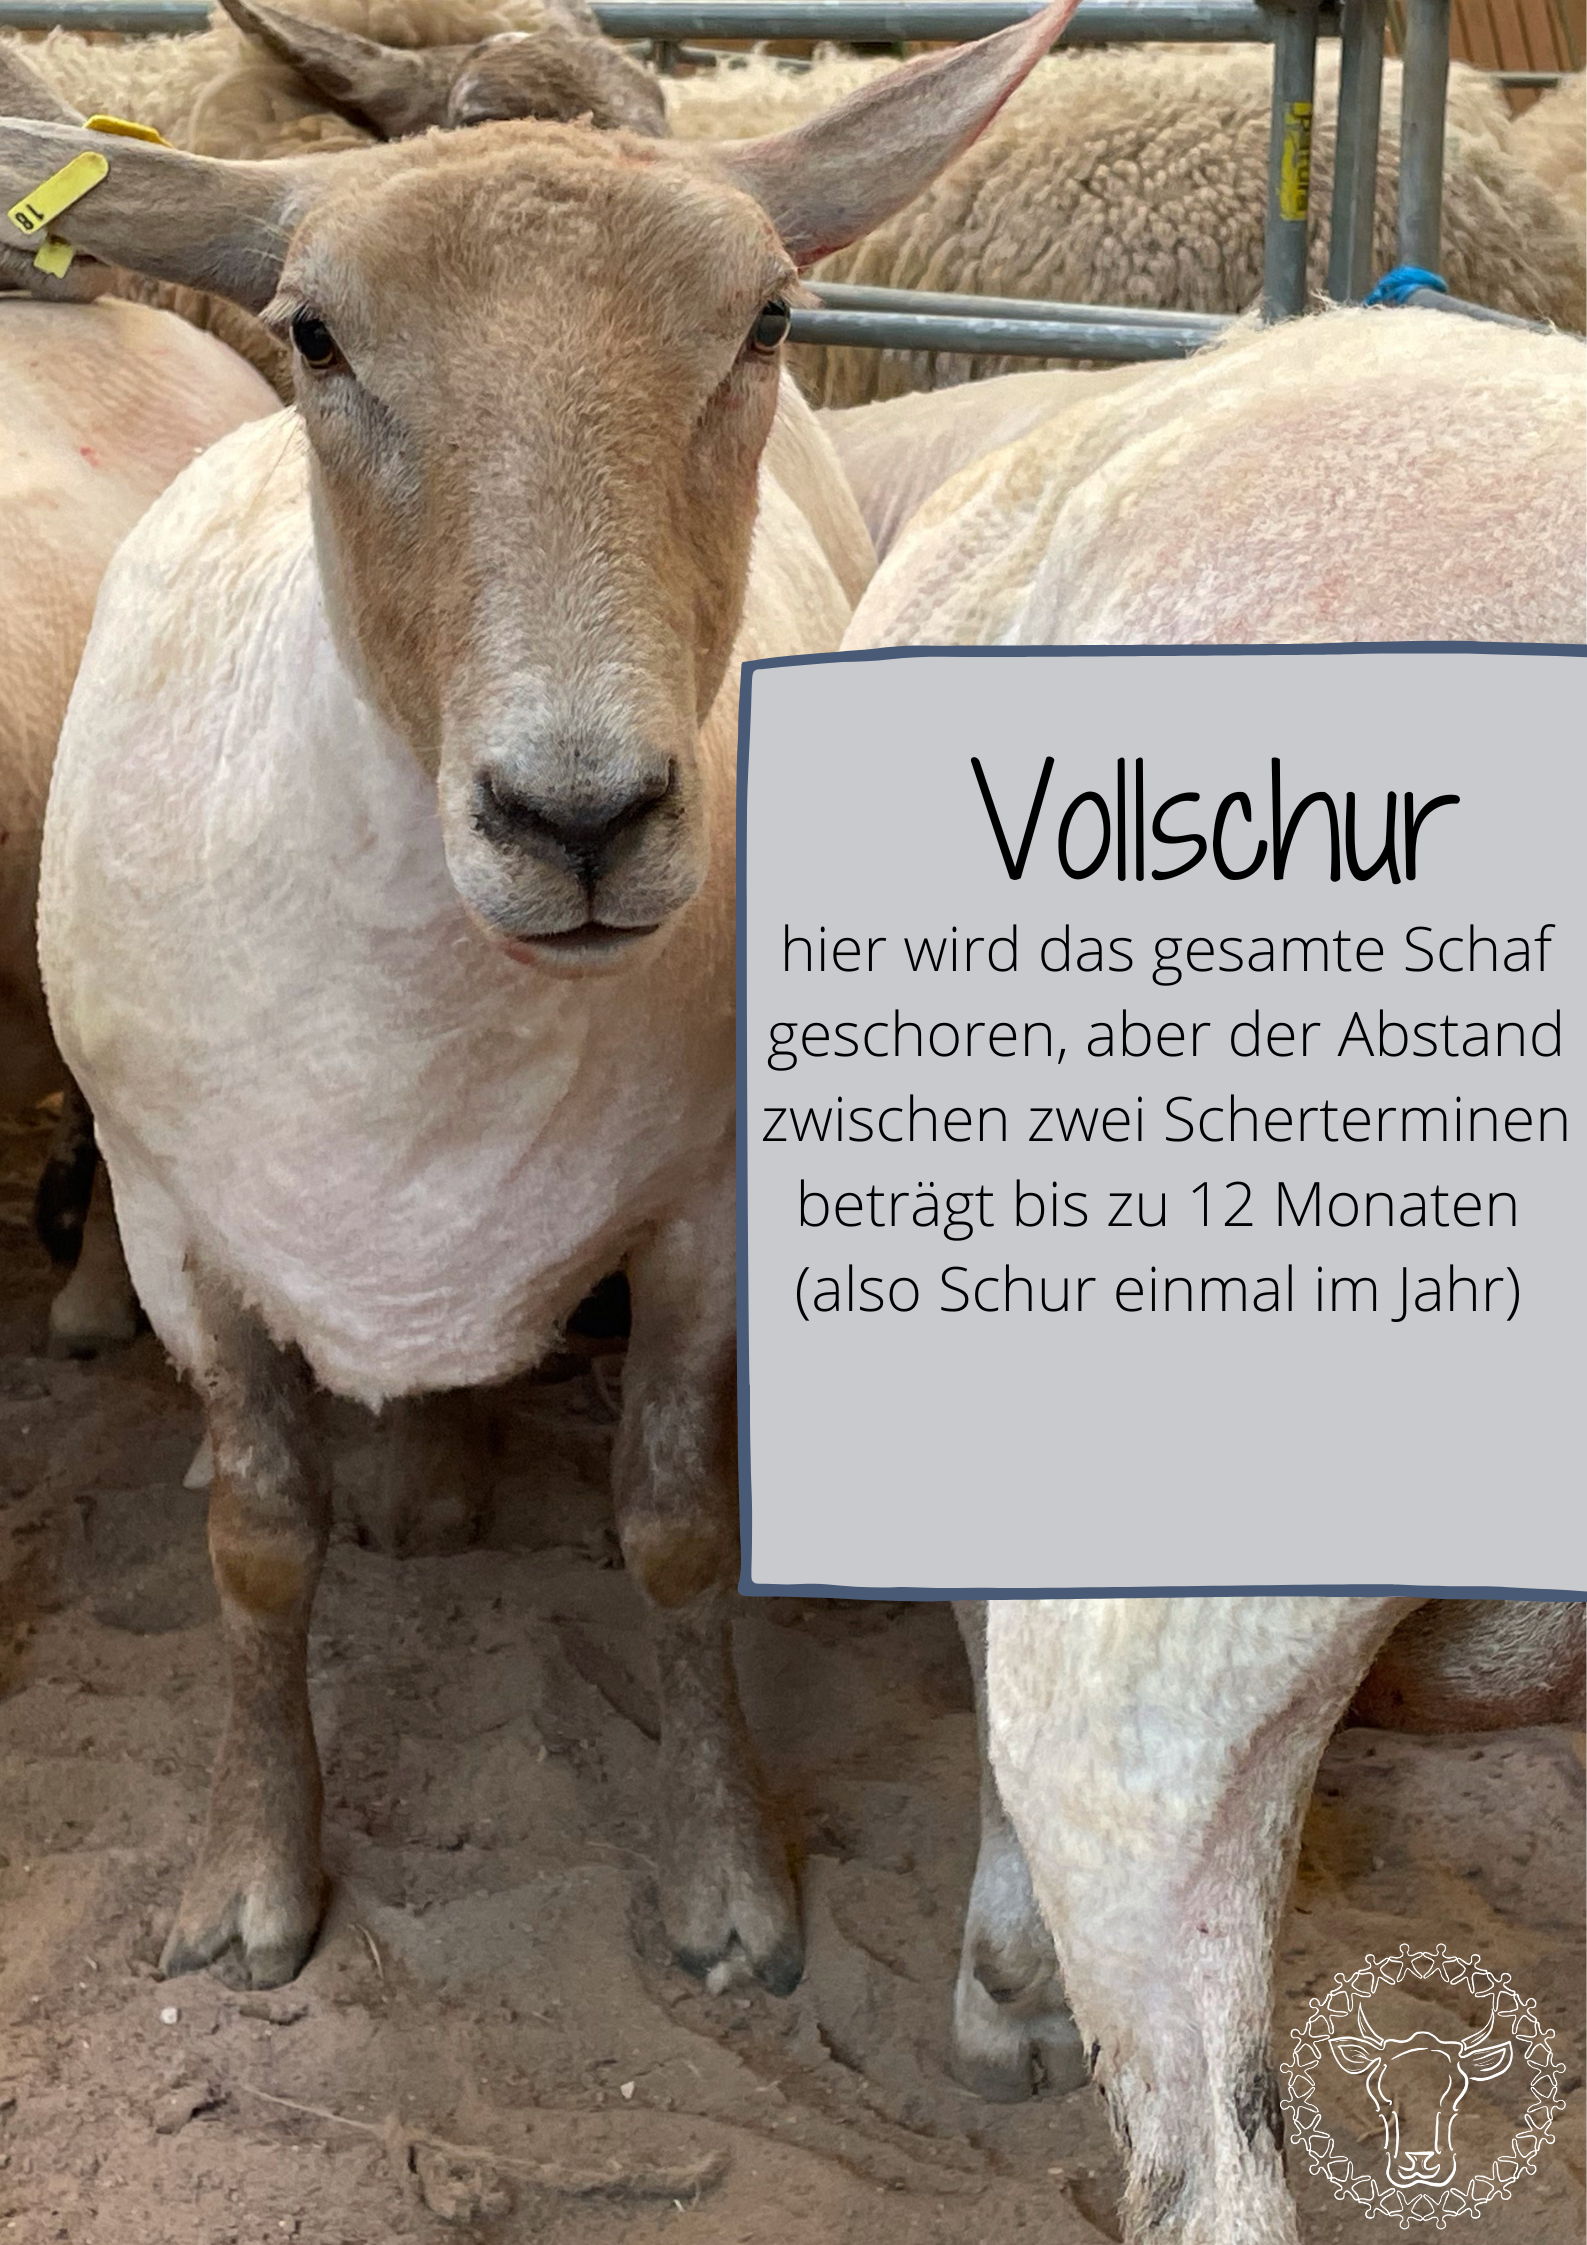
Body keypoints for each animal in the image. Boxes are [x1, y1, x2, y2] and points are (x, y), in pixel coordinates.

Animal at [2, 0, 1071, 1992]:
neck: (427, 1013)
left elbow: (670, 1535)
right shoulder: (182, 1229)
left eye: (766, 320)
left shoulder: (702, 1219)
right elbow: (256, 1548)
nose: (577, 815)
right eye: (314, 335)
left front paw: (726, 1885)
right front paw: (253, 1879)